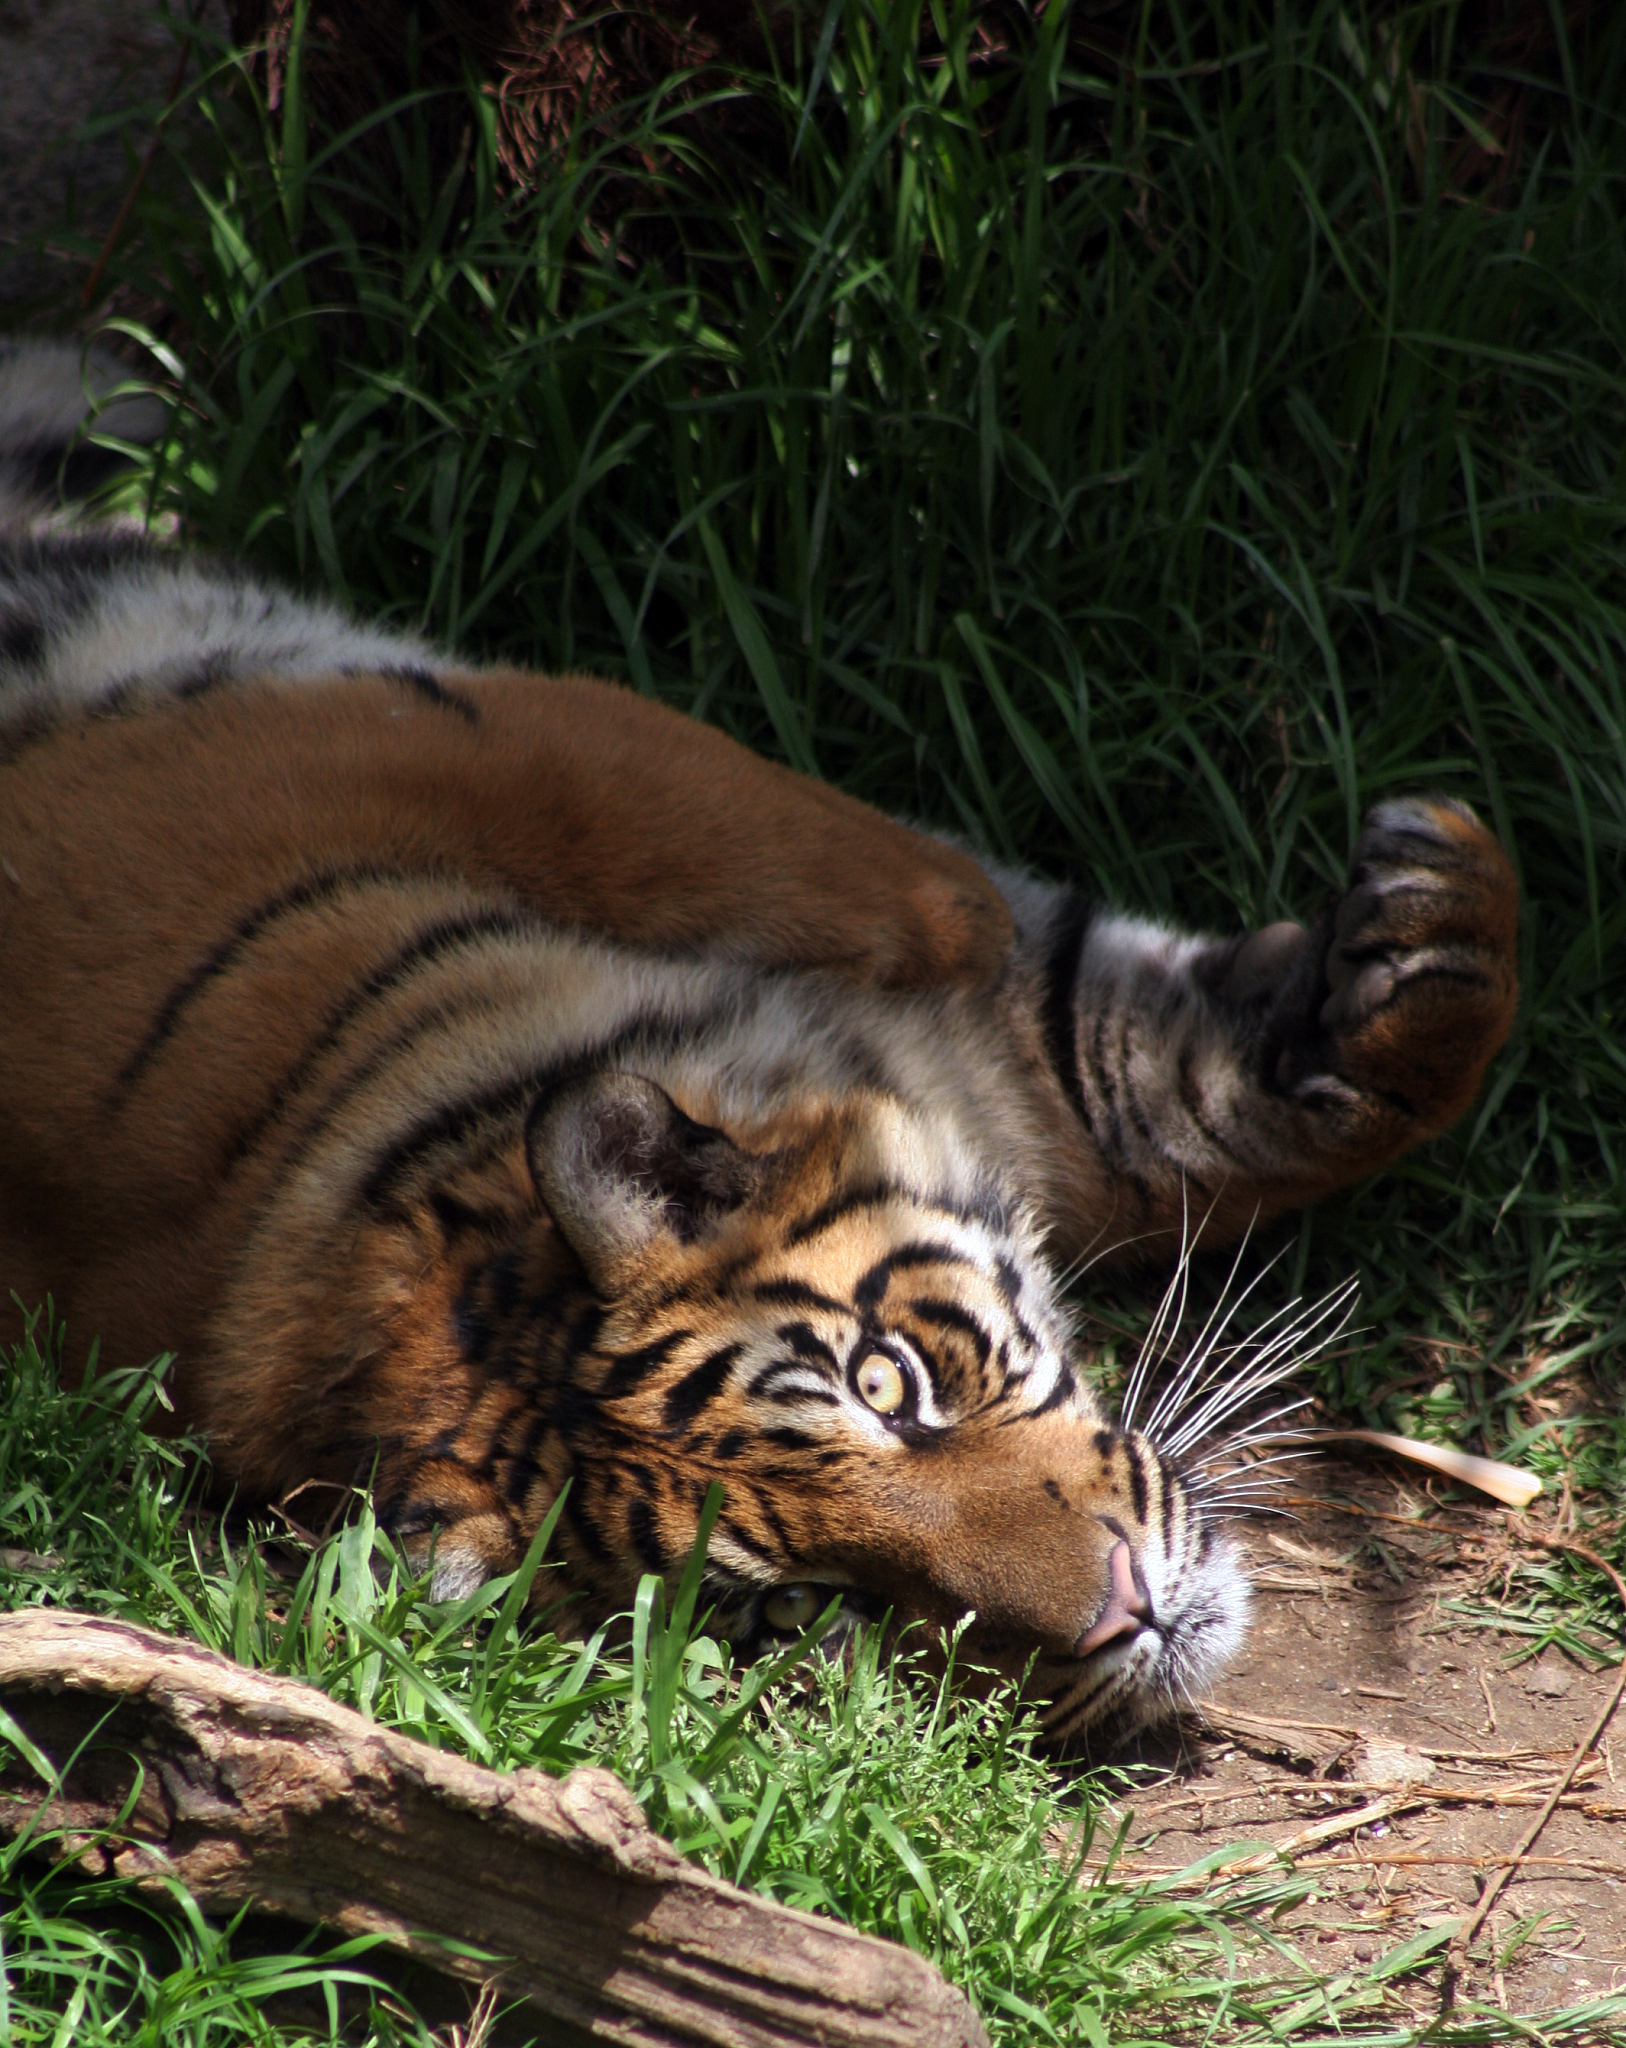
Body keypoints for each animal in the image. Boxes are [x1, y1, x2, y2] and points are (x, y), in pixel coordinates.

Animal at [0, 340, 1519, 1743]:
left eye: (886, 1381)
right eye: (805, 1606)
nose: (1128, 1613)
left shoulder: (429, 753)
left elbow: (773, 820)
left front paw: (1437, 887)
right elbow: (1149, 1087)